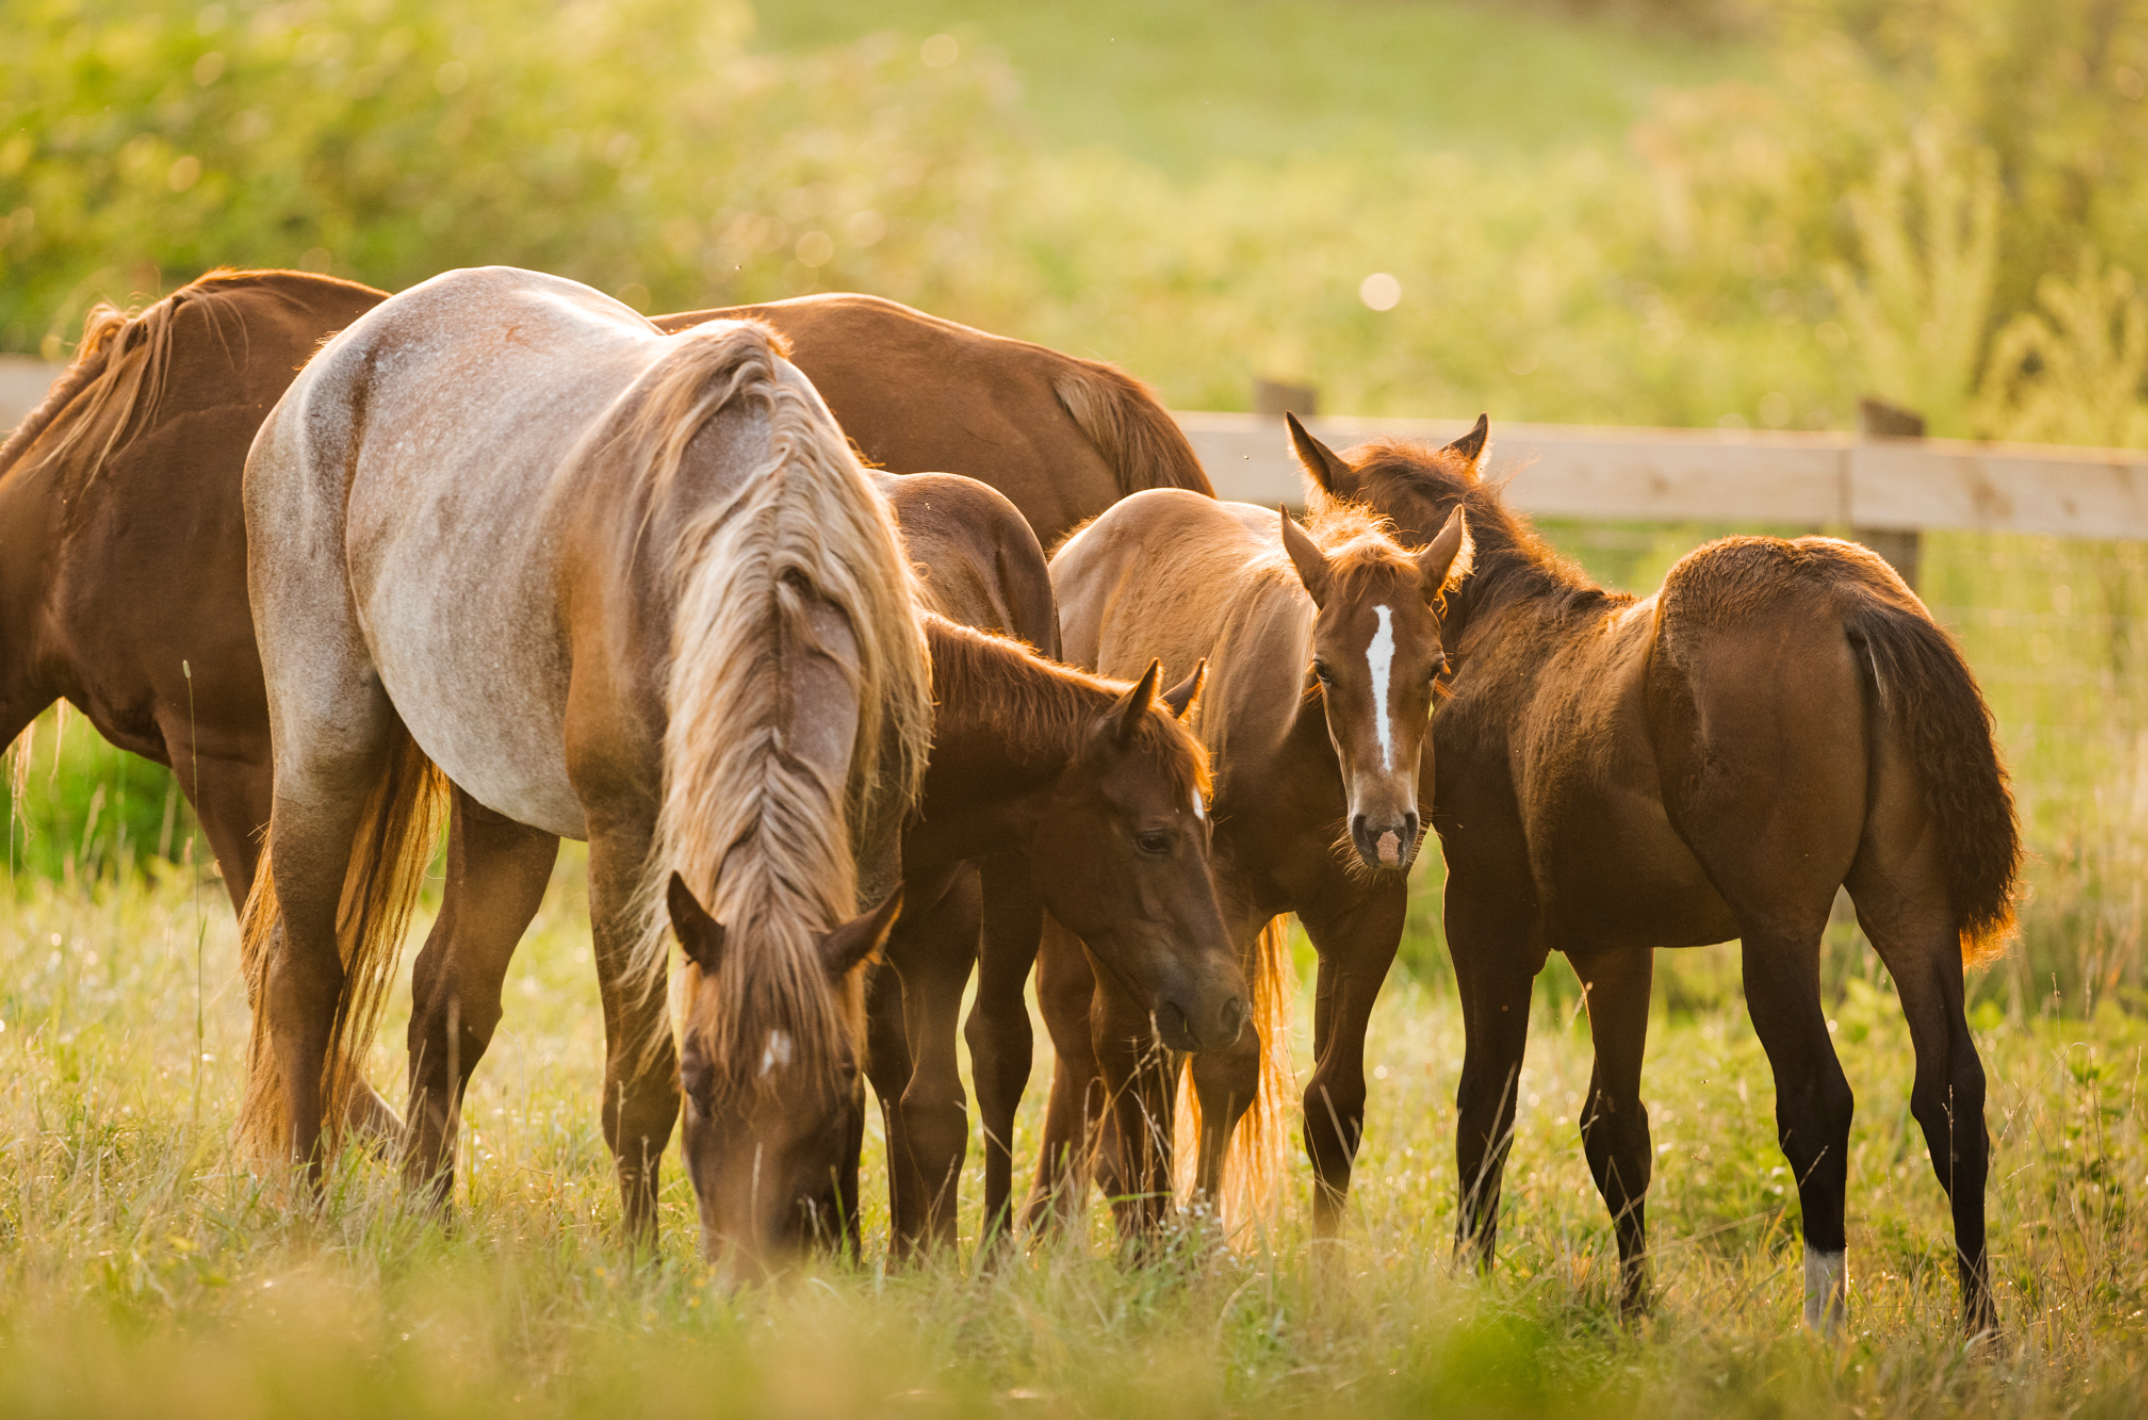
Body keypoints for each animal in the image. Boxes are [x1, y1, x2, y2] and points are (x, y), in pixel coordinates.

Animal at [237, 266, 935, 1270]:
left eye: (832, 1078)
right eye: (702, 1076)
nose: (760, 1267)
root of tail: (340, 356)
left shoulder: (871, 852)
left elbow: (885, 1063)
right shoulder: (630, 847)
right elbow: (635, 1087)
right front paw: (640, 1266)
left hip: (504, 808)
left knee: (447, 1000)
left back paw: (430, 1218)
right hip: (326, 751)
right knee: (304, 979)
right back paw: (307, 1207)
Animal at [1030, 476, 1469, 1238]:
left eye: (1435, 669)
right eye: (1325, 670)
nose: (1386, 829)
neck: (1307, 761)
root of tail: (1080, 546)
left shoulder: (1366, 920)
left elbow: (1334, 1101)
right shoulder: (1222, 901)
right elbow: (1223, 1068)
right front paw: (1198, 1242)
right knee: (1112, 1043)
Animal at [1289, 413, 2018, 1334]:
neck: (1497, 644)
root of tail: (1855, 601)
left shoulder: (1486, 923)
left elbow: (1486, 1110)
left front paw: (1468, 1290)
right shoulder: (1614, 948)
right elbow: (1617, 1130)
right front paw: (1635, 1311)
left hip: (1780, 936)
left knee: (1818, 1102)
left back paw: (1822, 1328)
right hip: (1910, 909)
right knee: (1951, 1093)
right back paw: (1979, 1329)